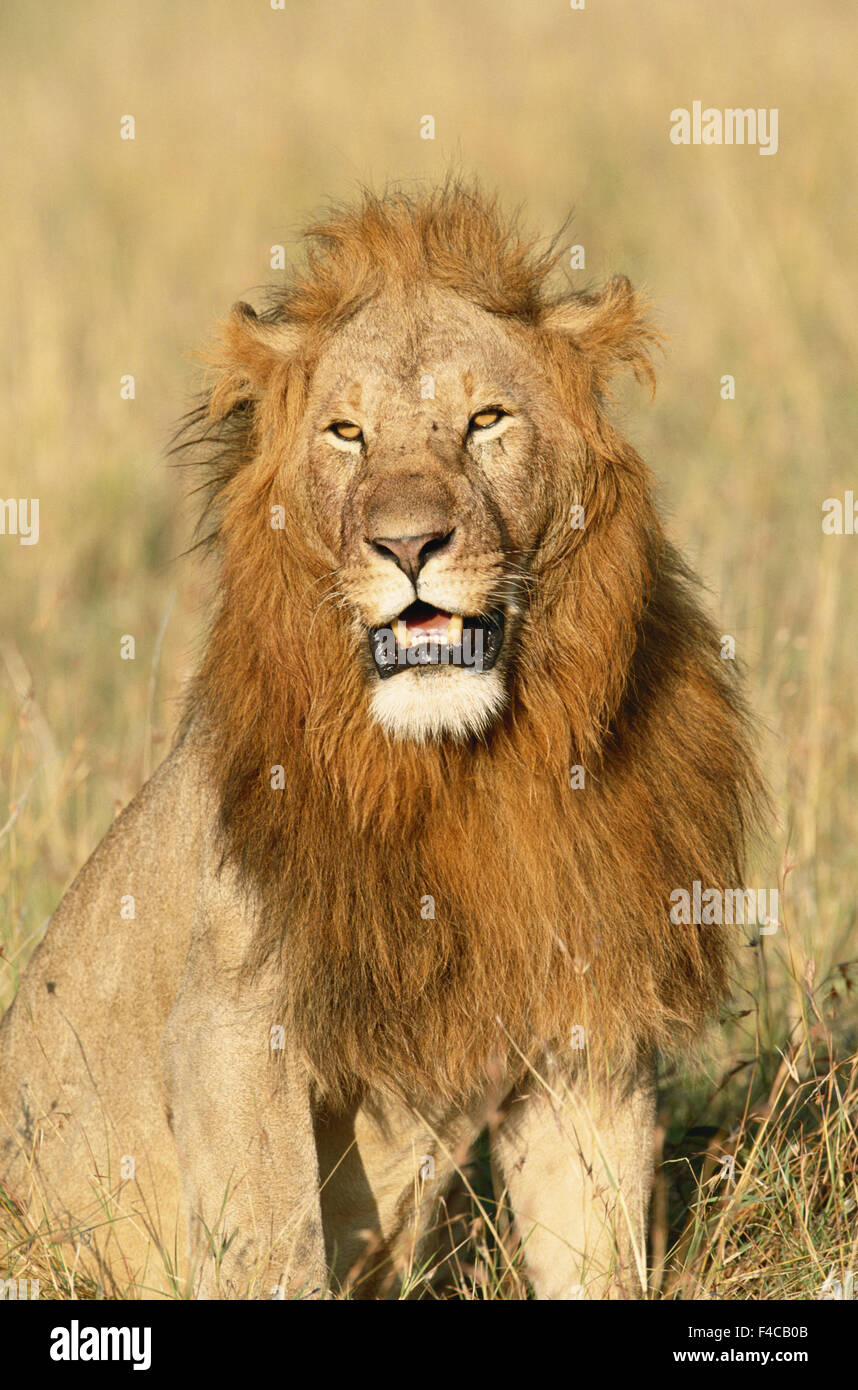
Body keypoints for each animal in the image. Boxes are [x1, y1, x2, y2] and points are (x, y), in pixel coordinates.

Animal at [0, 183, 763, 1300]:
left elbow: (599, 1250)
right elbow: (274, 1251)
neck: (469, 767)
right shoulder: (231, 1029)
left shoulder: (583, 1029)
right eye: (347, 433)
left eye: (486, 419)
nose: (407, 543)